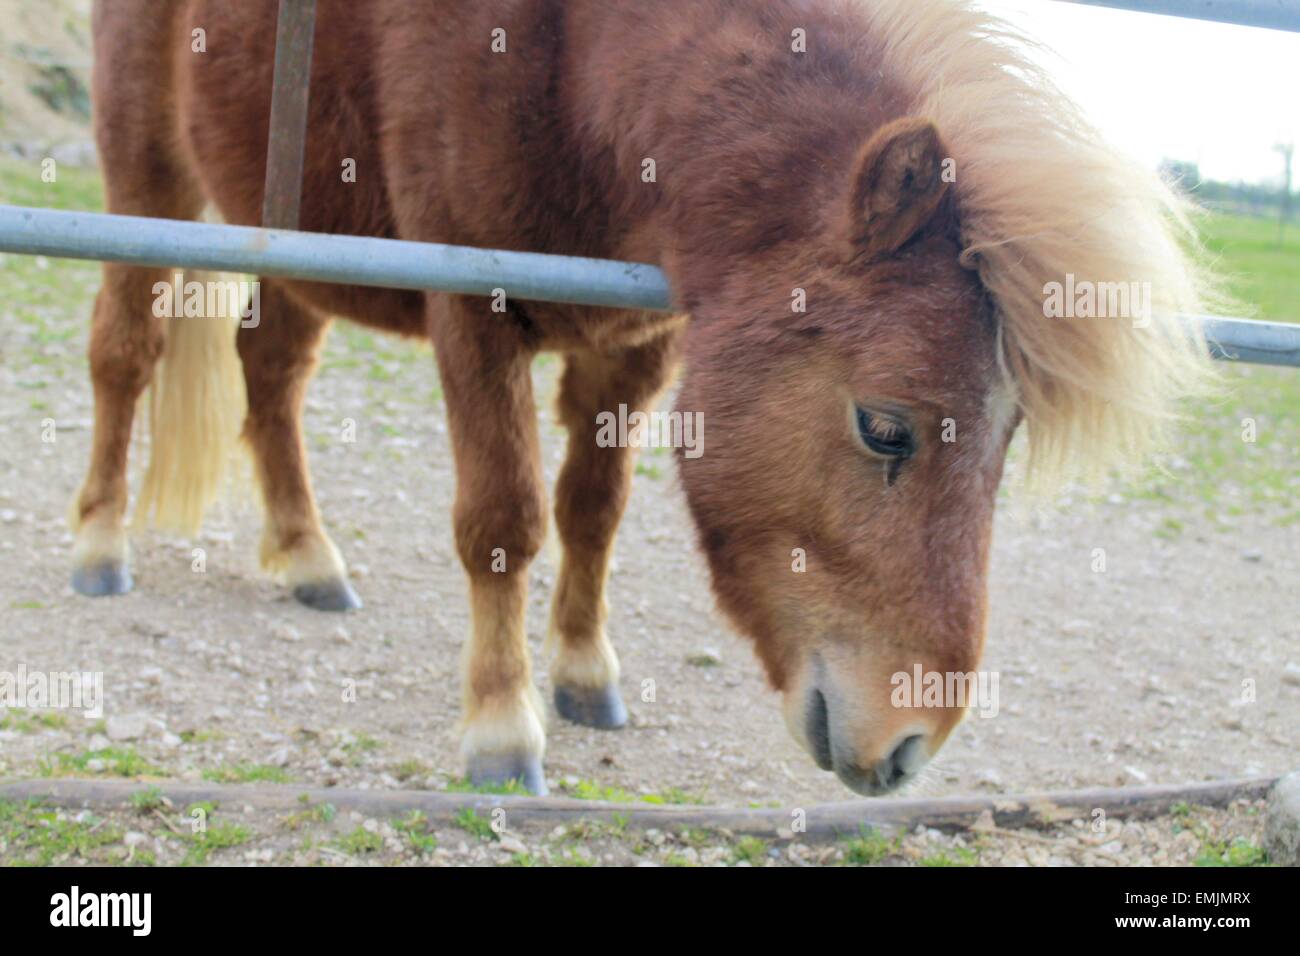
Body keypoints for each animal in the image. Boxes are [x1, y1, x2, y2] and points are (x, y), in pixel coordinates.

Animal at [73, 0, 1213, 796]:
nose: (907, 746)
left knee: (269, 373)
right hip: (149, 179)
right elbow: (505, 520)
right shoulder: (473, 312)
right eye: (884, 426)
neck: (571, 53)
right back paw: (101, 545)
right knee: (125, 352)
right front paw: (501, 733)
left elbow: (593, 510)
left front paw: (583, 674)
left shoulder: (636, 345)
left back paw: (307, 554)